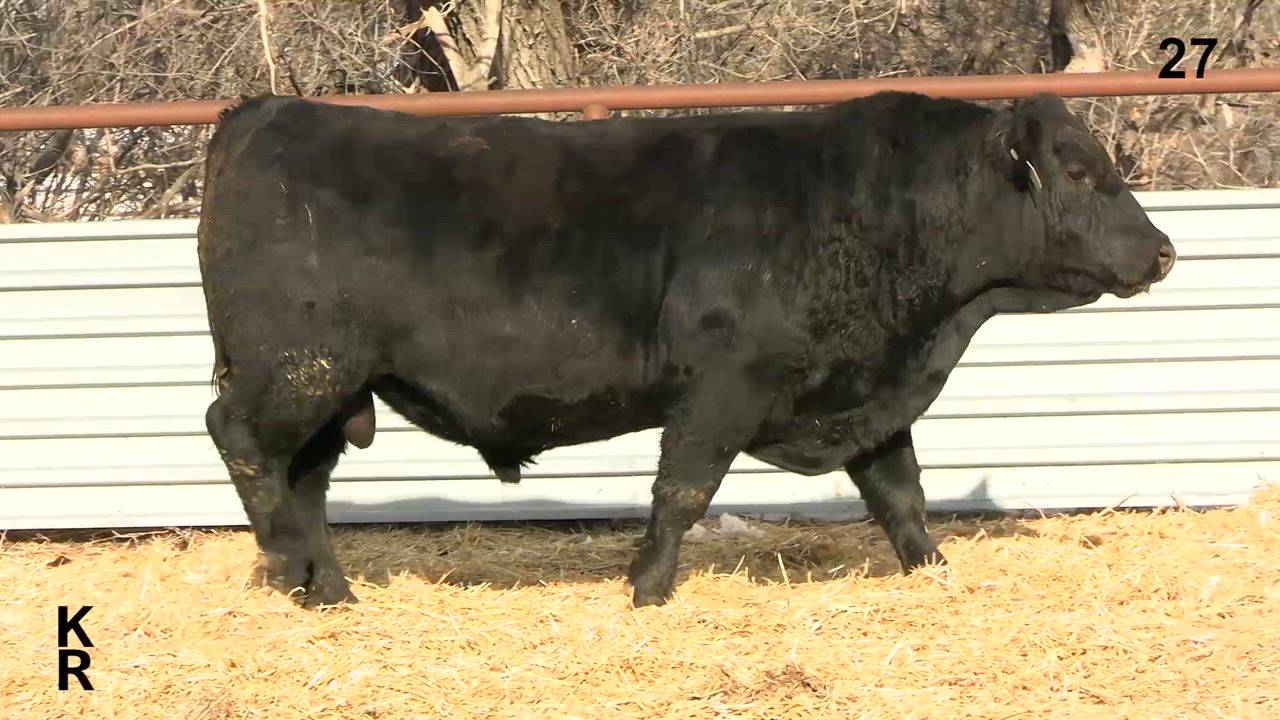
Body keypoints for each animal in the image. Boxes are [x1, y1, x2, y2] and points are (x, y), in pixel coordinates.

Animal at [196, 90, 1175, 609]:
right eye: (1080, 172)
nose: (1164, 250)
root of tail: (266, 110)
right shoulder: (722, 388)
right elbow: (682, 492)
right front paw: (648, 588)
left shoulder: (866, 390)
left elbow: (902, 495)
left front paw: (934, 572)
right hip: (295, 370)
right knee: (240, 442)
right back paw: (283, 564)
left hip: (331, 389)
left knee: (305, 478)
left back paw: (326, 588)